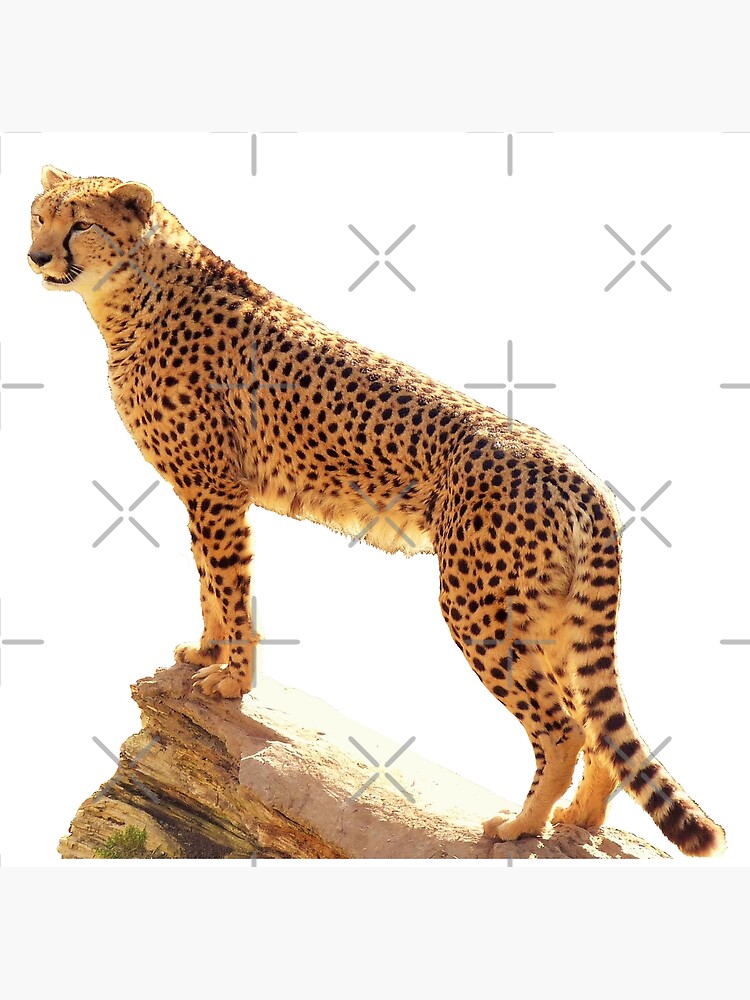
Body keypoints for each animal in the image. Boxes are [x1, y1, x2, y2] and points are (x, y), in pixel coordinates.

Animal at [28, 165, 726, 856]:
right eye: (38, 216)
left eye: (81, 224)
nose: (36, 256)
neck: (134, 294)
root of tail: (584, 478)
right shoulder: (203, 492)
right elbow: (207, 584)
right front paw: (203, 654)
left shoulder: (216, 490)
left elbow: (229, 587)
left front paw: (233, 681)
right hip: (545, 610)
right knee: (596, 721)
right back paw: (578, 818)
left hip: (478, 604)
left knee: (562, 726)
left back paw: (521, 825)